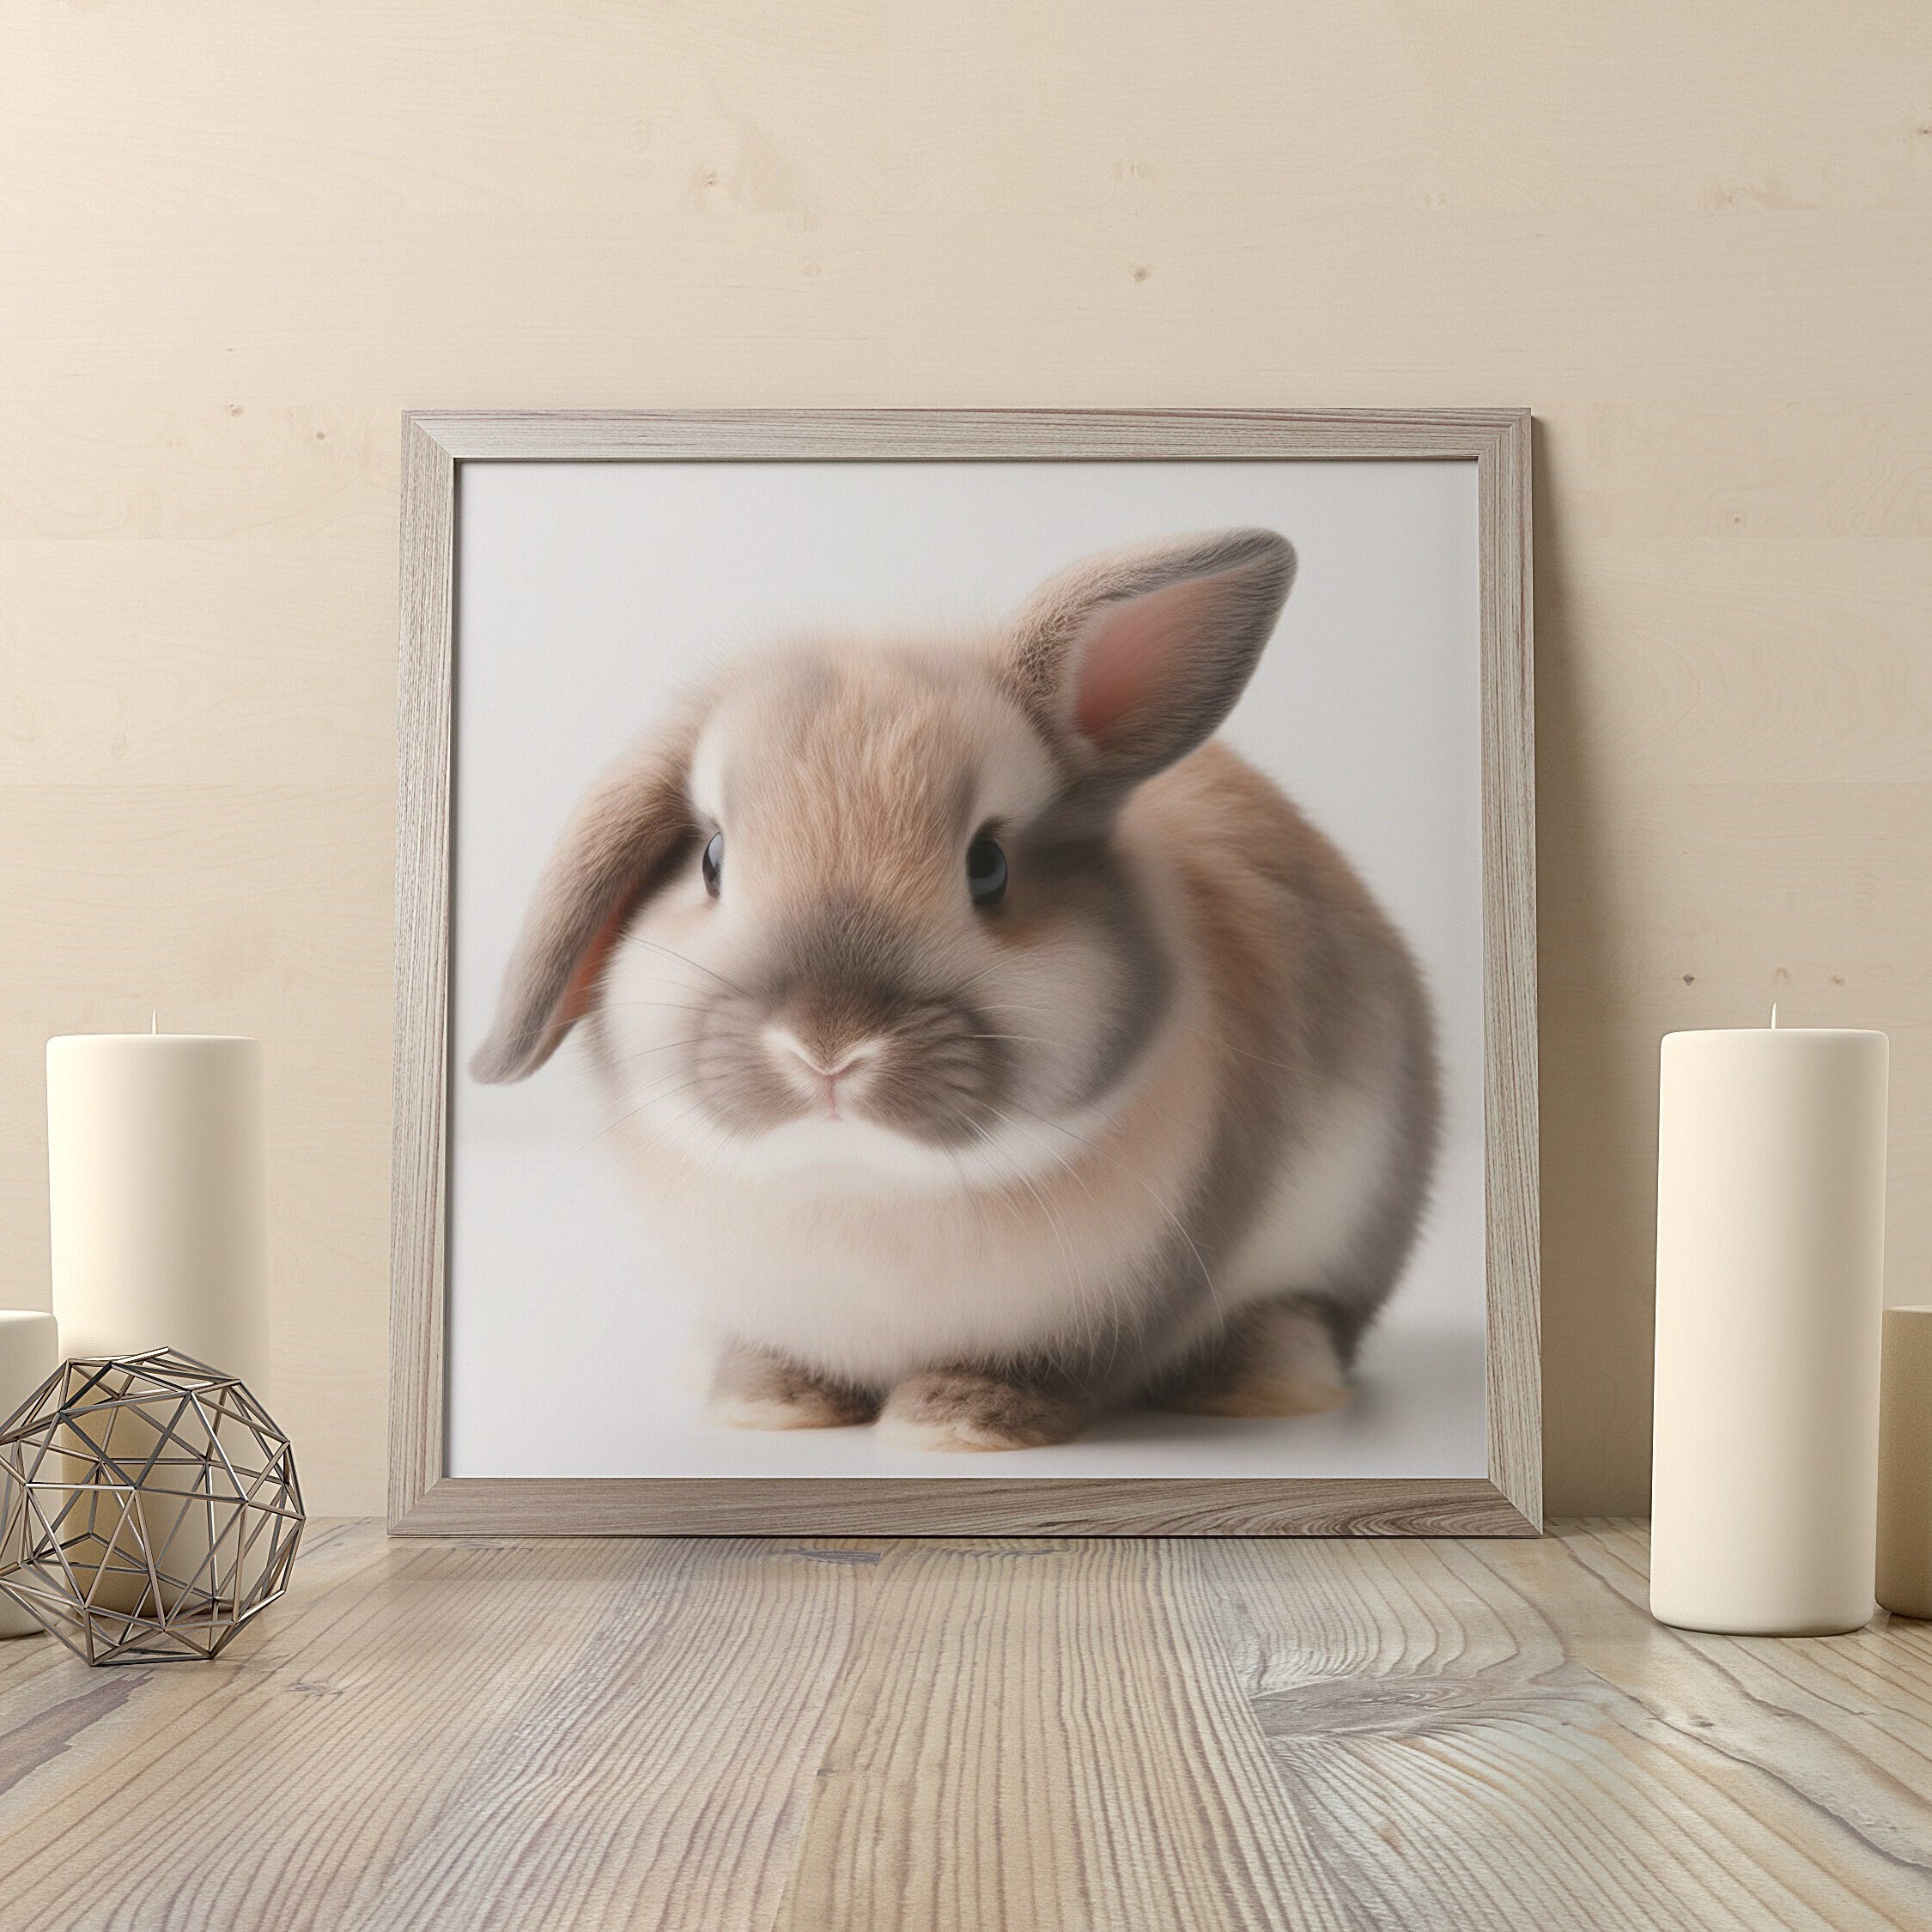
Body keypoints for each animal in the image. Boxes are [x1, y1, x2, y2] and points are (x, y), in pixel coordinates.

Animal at [472, 528, 1439, 1451]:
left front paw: (958, 1421)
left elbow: (1061, 1369)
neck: (861, 1184)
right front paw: (765, 1402)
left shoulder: (1136, 1294)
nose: (826, 1049)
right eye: (710, 858)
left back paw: (1265, 1374)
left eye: (989, 867)